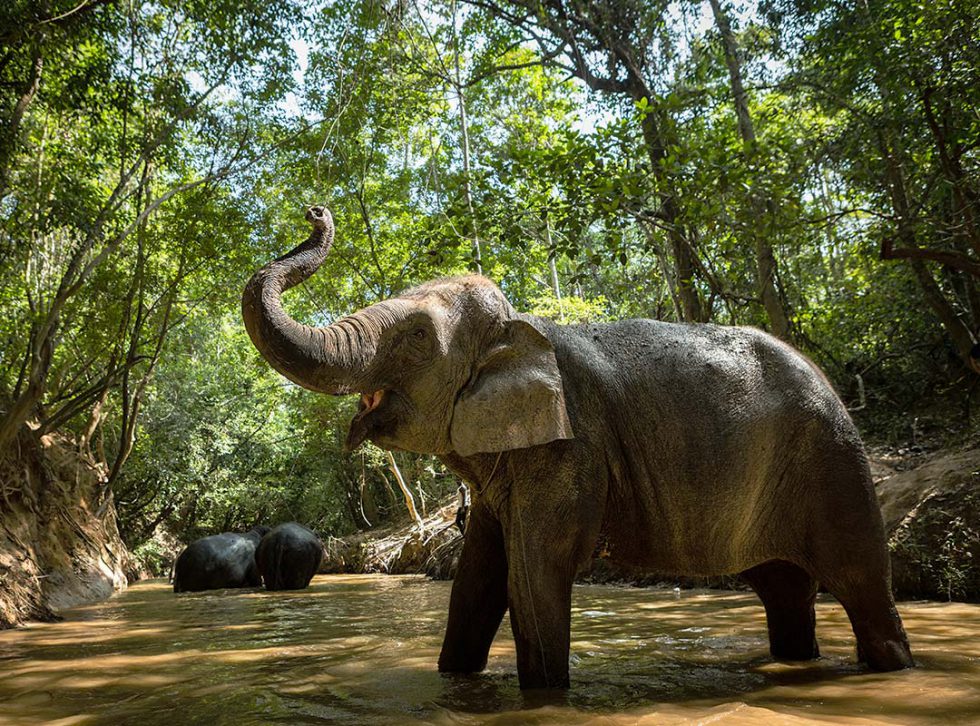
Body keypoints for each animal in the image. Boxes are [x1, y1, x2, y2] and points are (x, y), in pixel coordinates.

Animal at [241, 207, 913, 689]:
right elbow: (476, 581)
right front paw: (455, 678)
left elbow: (534, 577)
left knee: (861, 583)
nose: (315, 211)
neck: (523, 329)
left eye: (416, 337)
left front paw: (543, 691)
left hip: (834, 462)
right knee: (784, 588)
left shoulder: (572, 450)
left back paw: (893, 667)